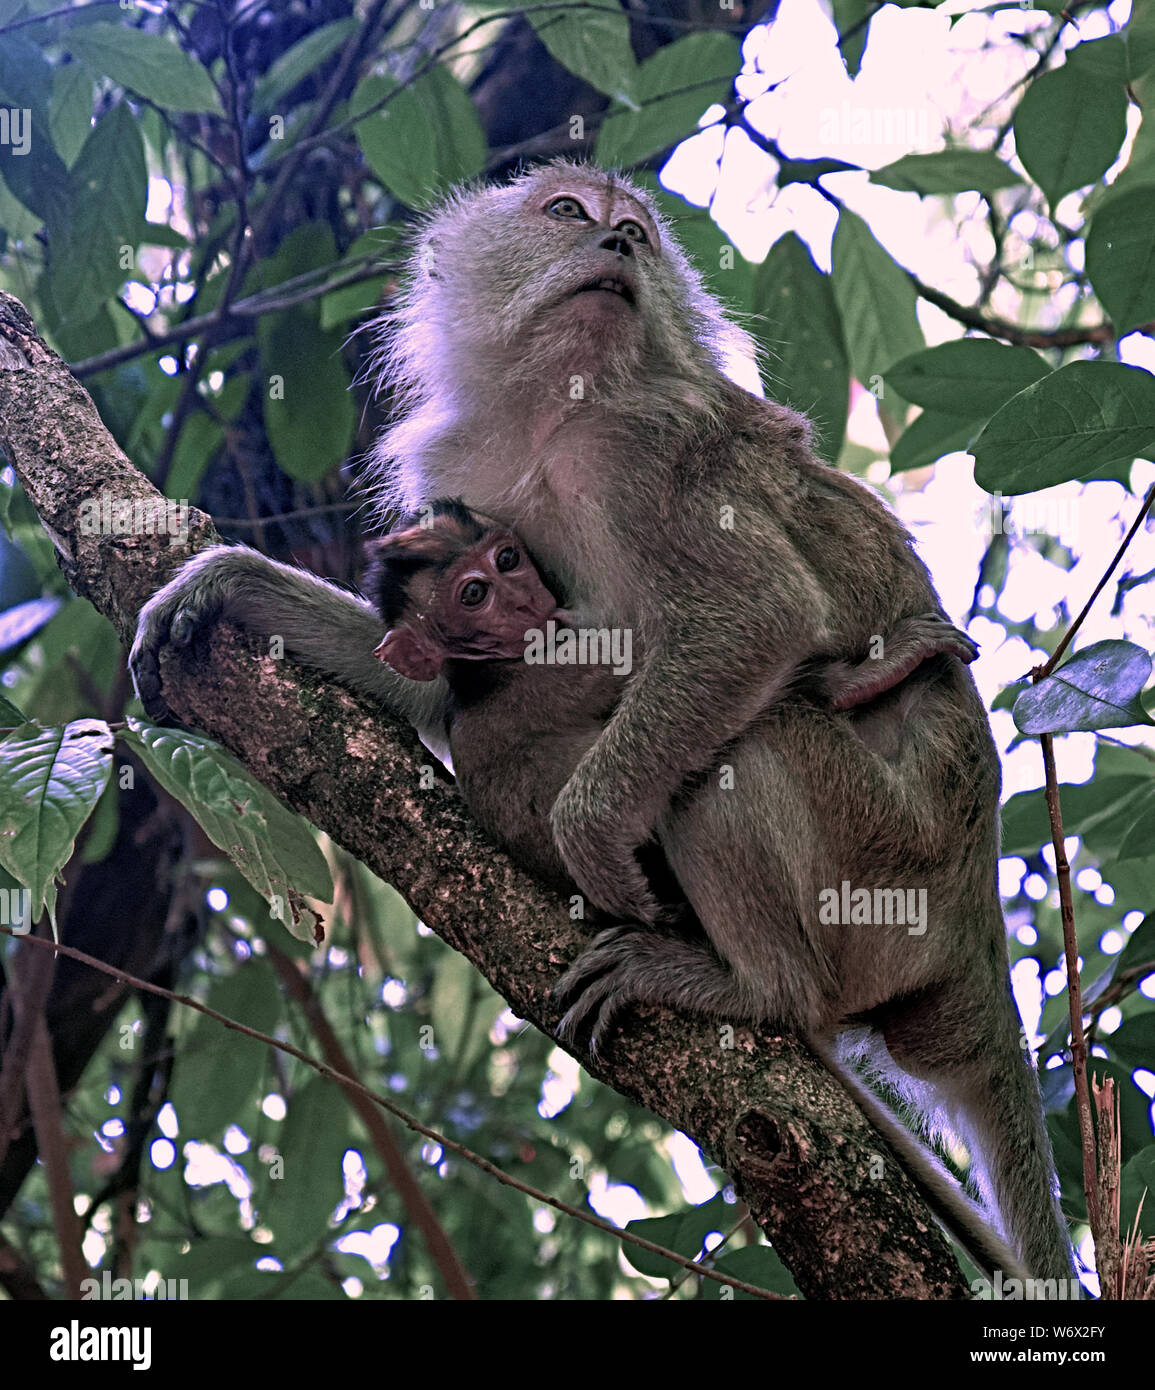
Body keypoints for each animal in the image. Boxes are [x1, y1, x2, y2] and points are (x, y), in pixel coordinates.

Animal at [129, 159, 1074, 1287]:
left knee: (746, 743)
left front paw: (590, 831)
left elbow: (758, 616)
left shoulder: (644, 451)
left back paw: (765, 989)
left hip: (887, 874)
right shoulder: (472, 483)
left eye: (638, 233)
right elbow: (431, 689)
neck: (554, 413)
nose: (617, 243)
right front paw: (226, 581)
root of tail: (976, 933)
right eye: (569, 215)